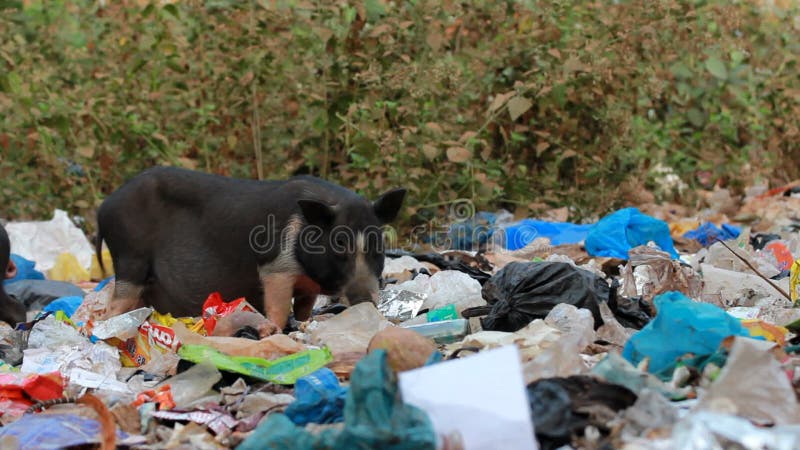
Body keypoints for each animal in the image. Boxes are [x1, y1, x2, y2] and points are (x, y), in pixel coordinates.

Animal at [96, 166, 405, 333]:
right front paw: (274, 330)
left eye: (378, 247)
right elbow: (277, 306)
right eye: (339, 246)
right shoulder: (274, 267)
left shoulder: (307, 286)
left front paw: (305, 324)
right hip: (129, 259)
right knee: (113, 307)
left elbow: (303, 310)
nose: (365, 299)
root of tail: (103, 208)